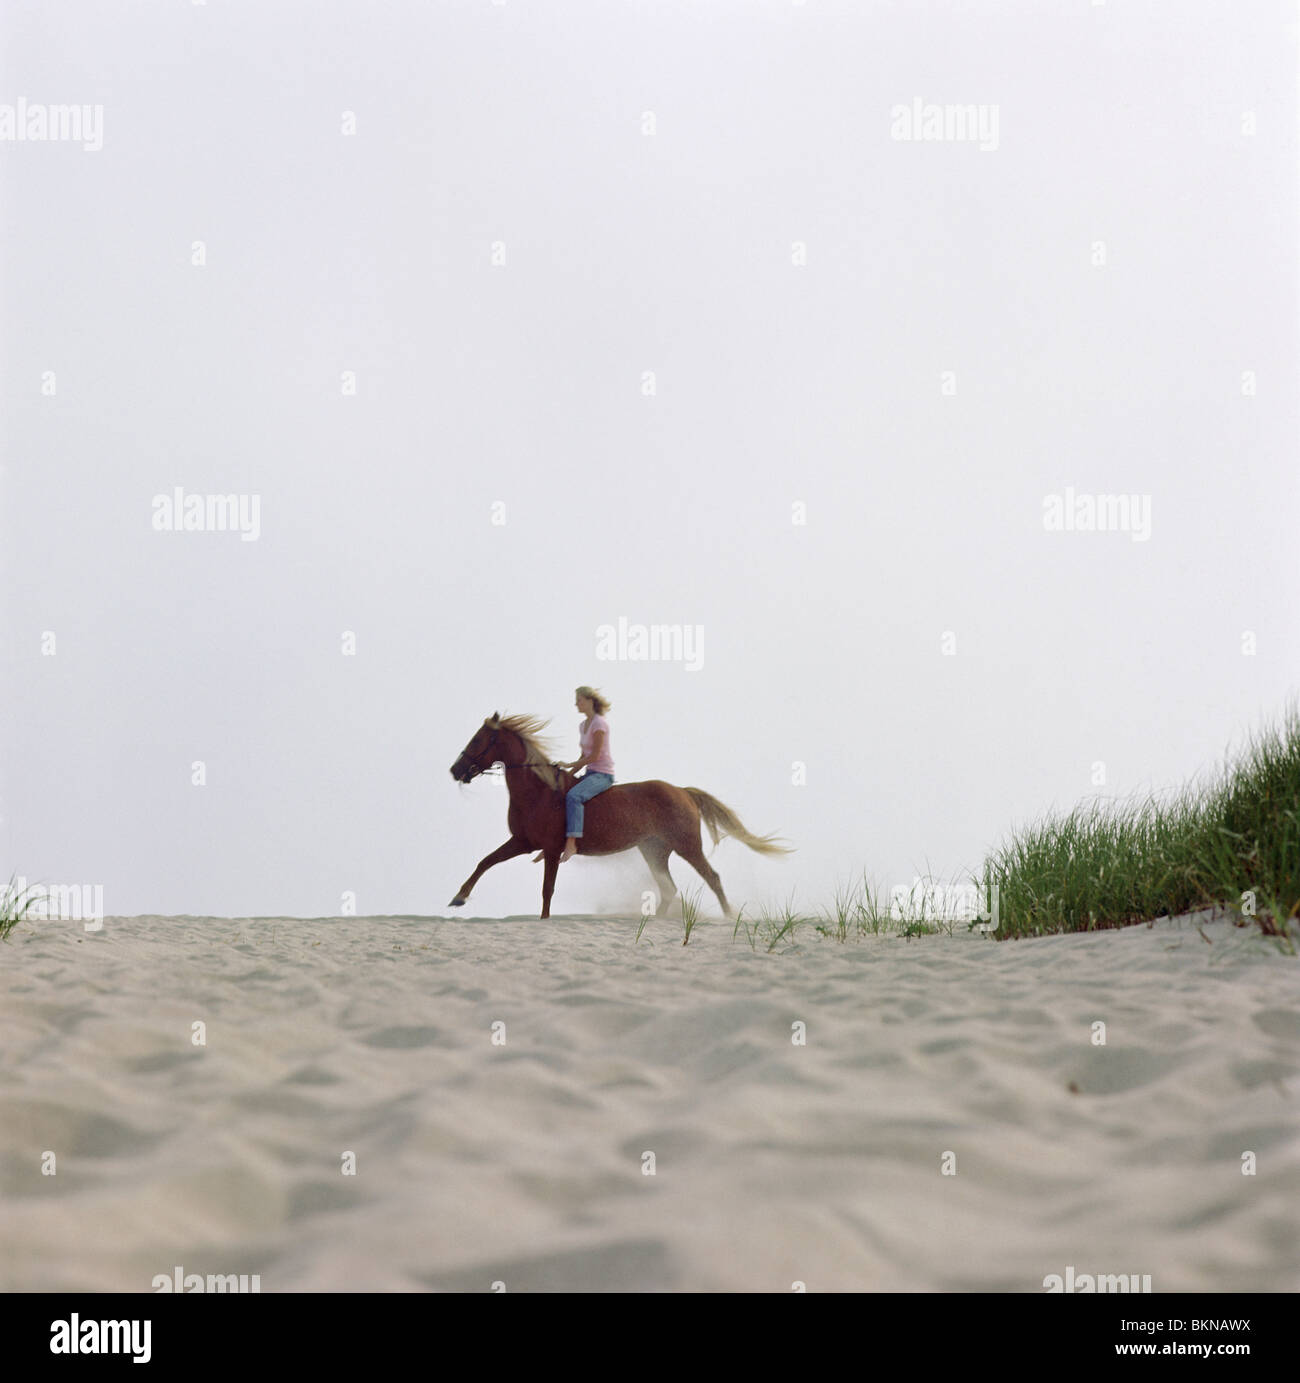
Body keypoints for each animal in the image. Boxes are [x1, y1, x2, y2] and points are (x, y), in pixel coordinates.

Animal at [448, 712, 793, 920]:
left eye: (478, 739)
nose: (455, 770)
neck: (539, 792)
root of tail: (682, 791)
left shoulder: (551, 849)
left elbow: (547, 890)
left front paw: (544, 921)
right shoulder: (522, 842)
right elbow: (485, 862)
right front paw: (459, 897)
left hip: (687, 846)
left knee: (712, 877)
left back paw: (729, 916)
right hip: (654, 850)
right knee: (668, 888)